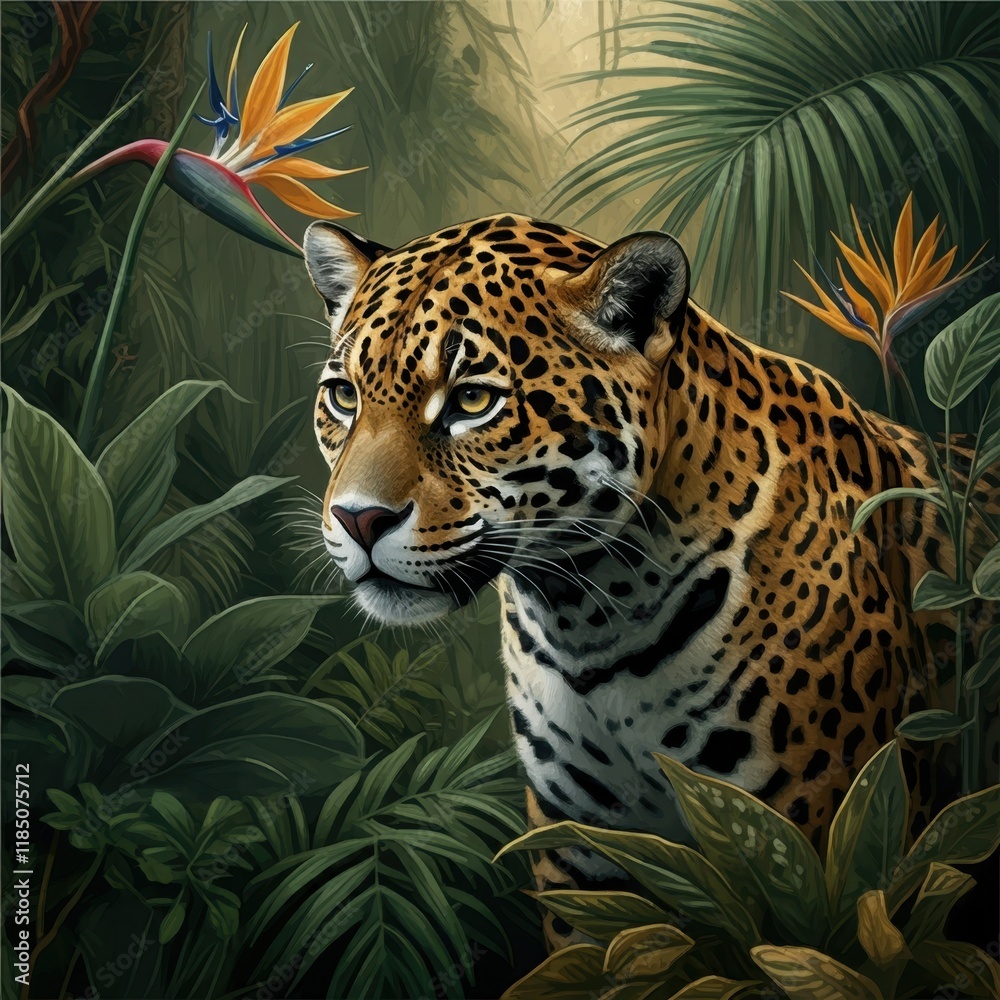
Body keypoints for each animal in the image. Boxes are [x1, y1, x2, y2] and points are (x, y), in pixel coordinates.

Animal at [301, 213, 999, 952]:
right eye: (344, 397)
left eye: (471, 400)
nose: (359, 519)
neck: (591, 612)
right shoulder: (580, 850)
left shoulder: (819, 843)